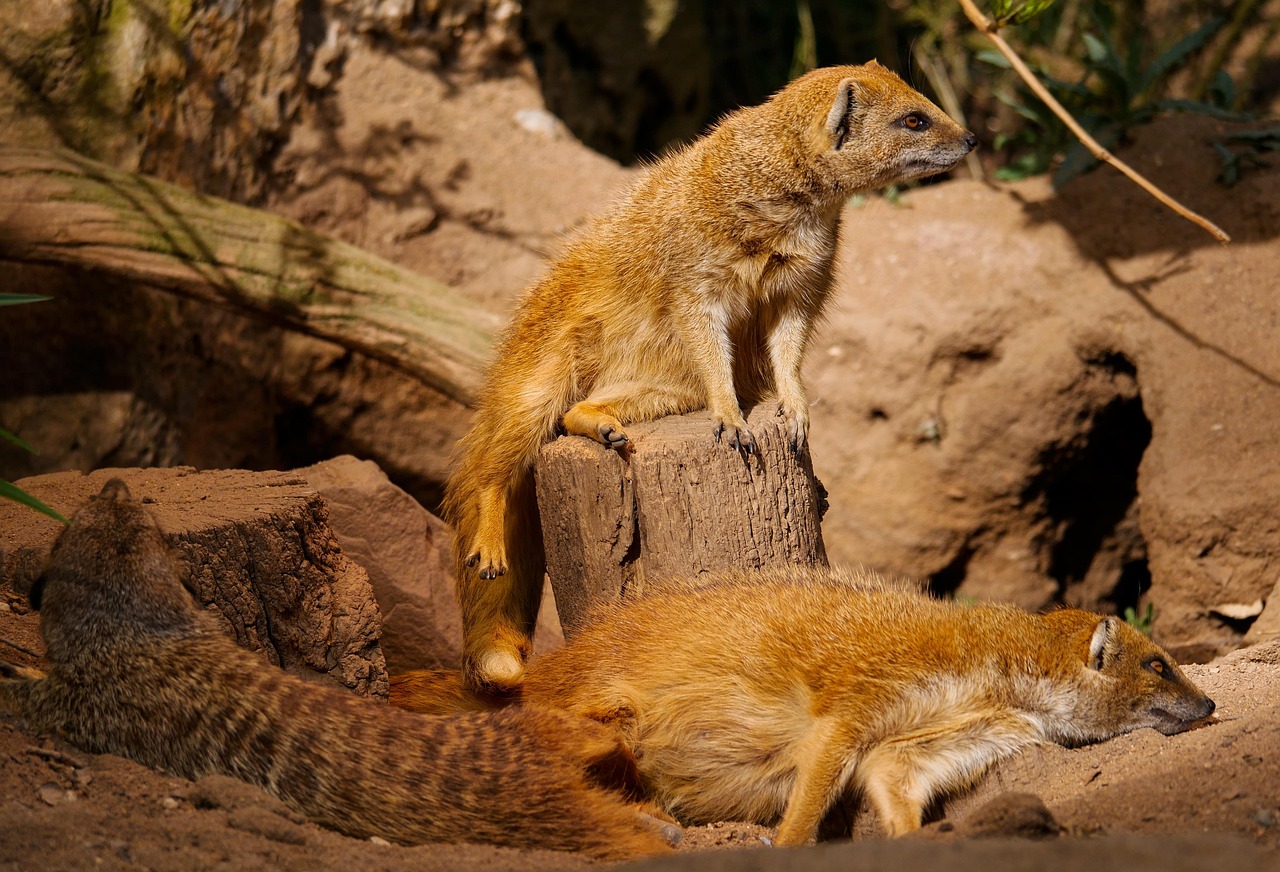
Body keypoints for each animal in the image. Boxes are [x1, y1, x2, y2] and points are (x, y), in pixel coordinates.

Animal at [390, 566, 1216, 844]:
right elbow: (823, 769)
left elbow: (890, 773)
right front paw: (786, 841)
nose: (1209, 702)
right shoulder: (861, 697)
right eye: (1159, 664)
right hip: (592, 713)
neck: (987, 669)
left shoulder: (964, 731)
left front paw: (911, 835)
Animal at [447, 62, 978, 691]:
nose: (972, 138)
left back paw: (604, 426)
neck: (779, 212)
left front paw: (794, 410)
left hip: (665, 385)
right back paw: (489, 541)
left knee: (581, 410)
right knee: (501, 456)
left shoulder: (803, 281)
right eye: (914, 118)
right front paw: (730, 418)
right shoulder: (695, 280)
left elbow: (789, 347)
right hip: (542, 365)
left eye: (921, 104)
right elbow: (708, 342)